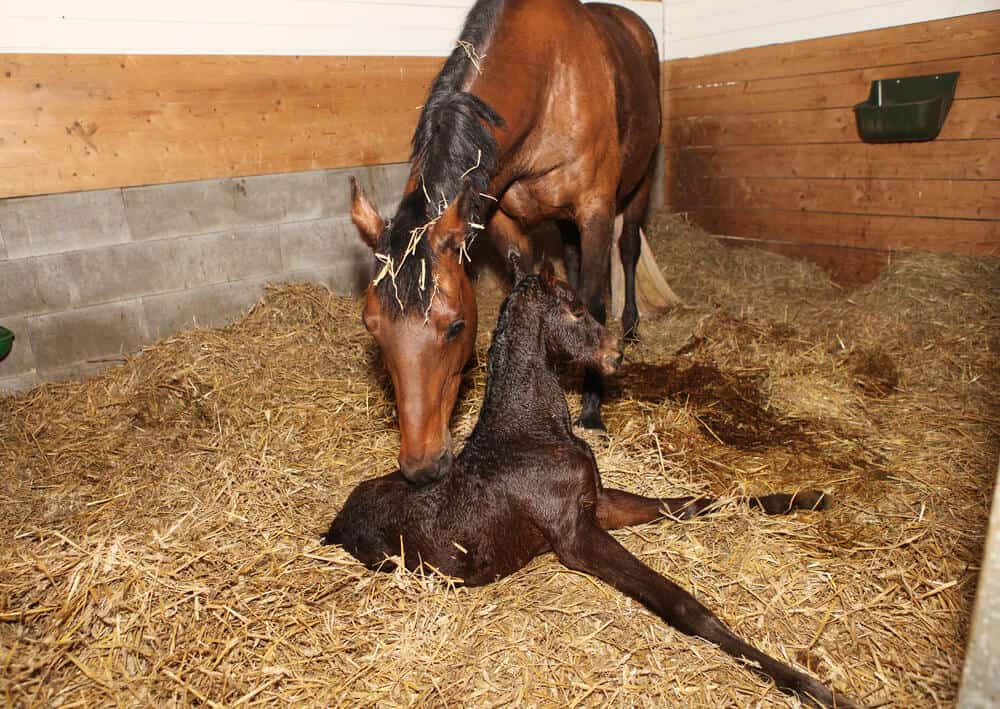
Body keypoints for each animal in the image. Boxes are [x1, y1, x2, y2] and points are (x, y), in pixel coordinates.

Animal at [324, 259, 858, 708]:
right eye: (577, 309)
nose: (616, 351)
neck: (530, 433)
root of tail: (336, 523)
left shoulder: (596, 504)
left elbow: (690, 504)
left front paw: (806, 498)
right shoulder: (575, 537)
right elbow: (682, 603)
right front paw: (813, 687)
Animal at [350, 0, 663, 483]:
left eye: (456, 326)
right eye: (372, 327)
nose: (422, 466)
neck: (550, 81)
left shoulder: (595, 208)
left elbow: (594, 300)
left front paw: (592, 410)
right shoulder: (500, 217)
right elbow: (524, 290)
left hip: (639, 183)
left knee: (627, 249)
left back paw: (629, 326)